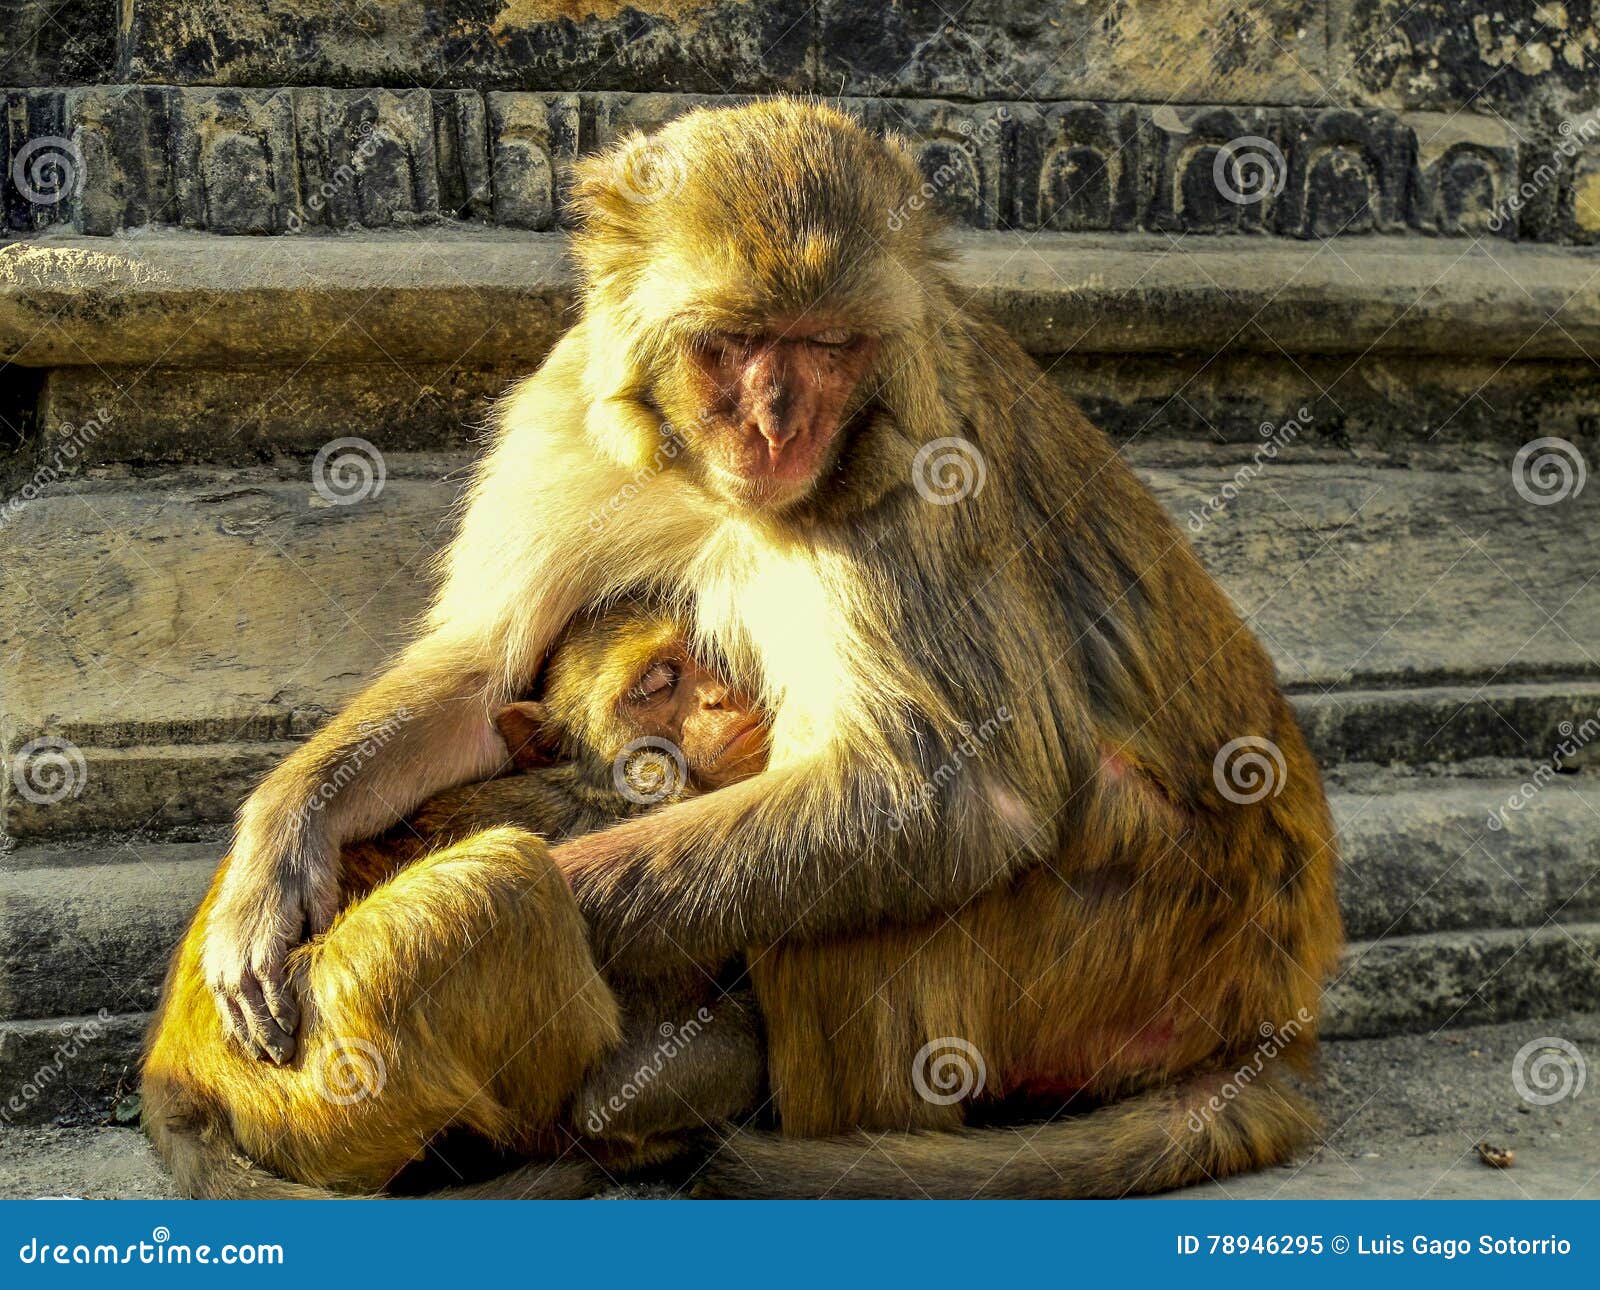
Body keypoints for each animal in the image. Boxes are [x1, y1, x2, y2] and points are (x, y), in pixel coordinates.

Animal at [142, 598, 769, 1197]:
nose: (720, 699)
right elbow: (620, 1091)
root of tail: (174, 1064)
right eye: (656, 685)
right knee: (504, 879)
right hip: (330, 1055)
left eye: (707, 656)